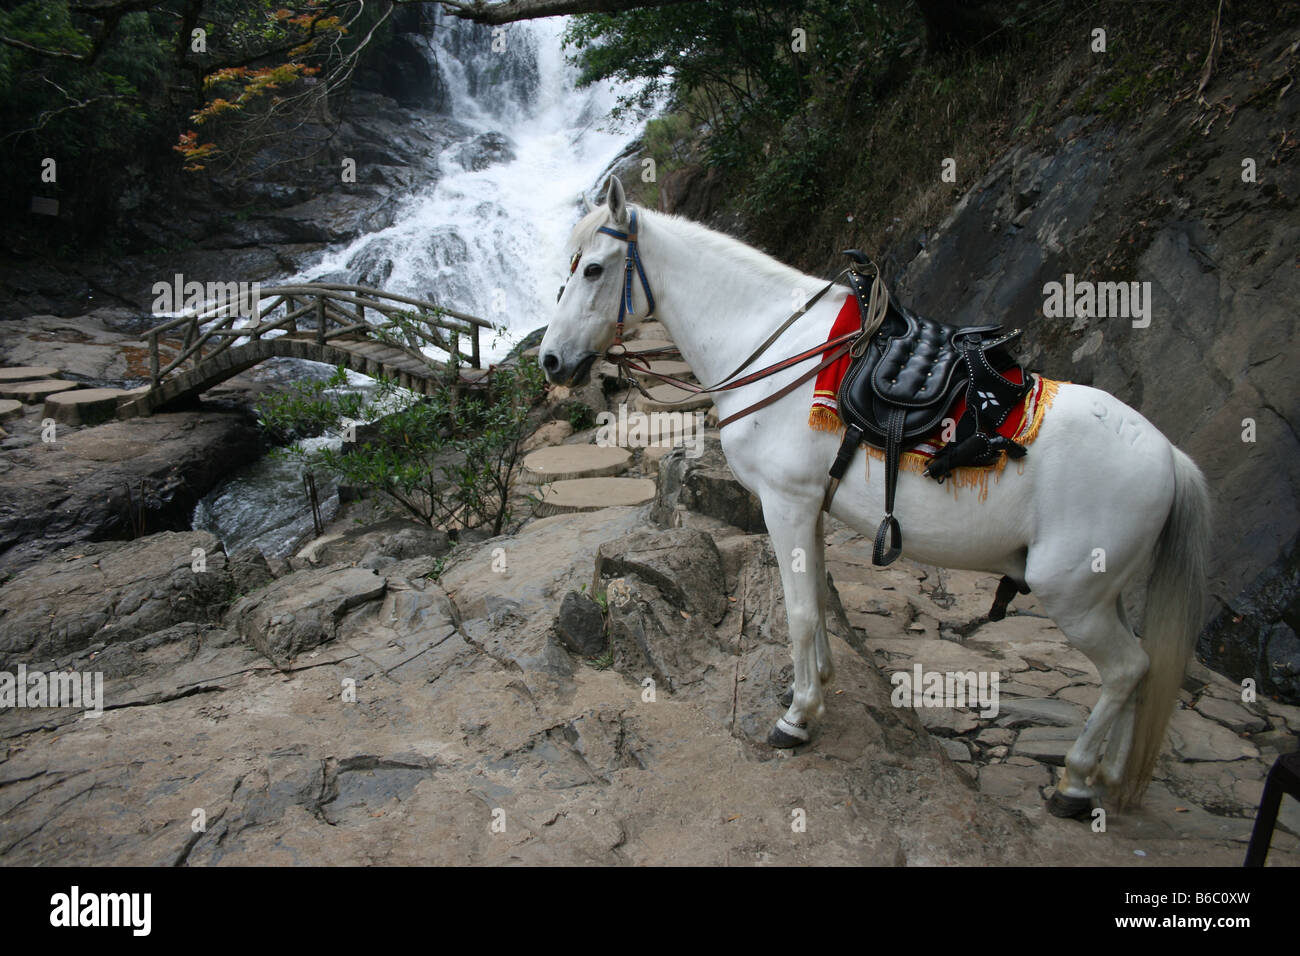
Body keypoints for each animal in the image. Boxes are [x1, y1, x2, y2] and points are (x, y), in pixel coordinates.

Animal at [539, 175, 1210, 816]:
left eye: (593, 269)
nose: (549, 361)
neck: (785, 354)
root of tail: (1169, 458)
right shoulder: (810, 507)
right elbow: (815, 602)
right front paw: (815, 688)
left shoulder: (785, 504)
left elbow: (800, 612)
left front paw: (796, 719)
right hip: (1103, 591)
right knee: (1142, 670)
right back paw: (1110, 777)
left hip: (1071, 592)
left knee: (1127, 669)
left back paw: (1074, 782)